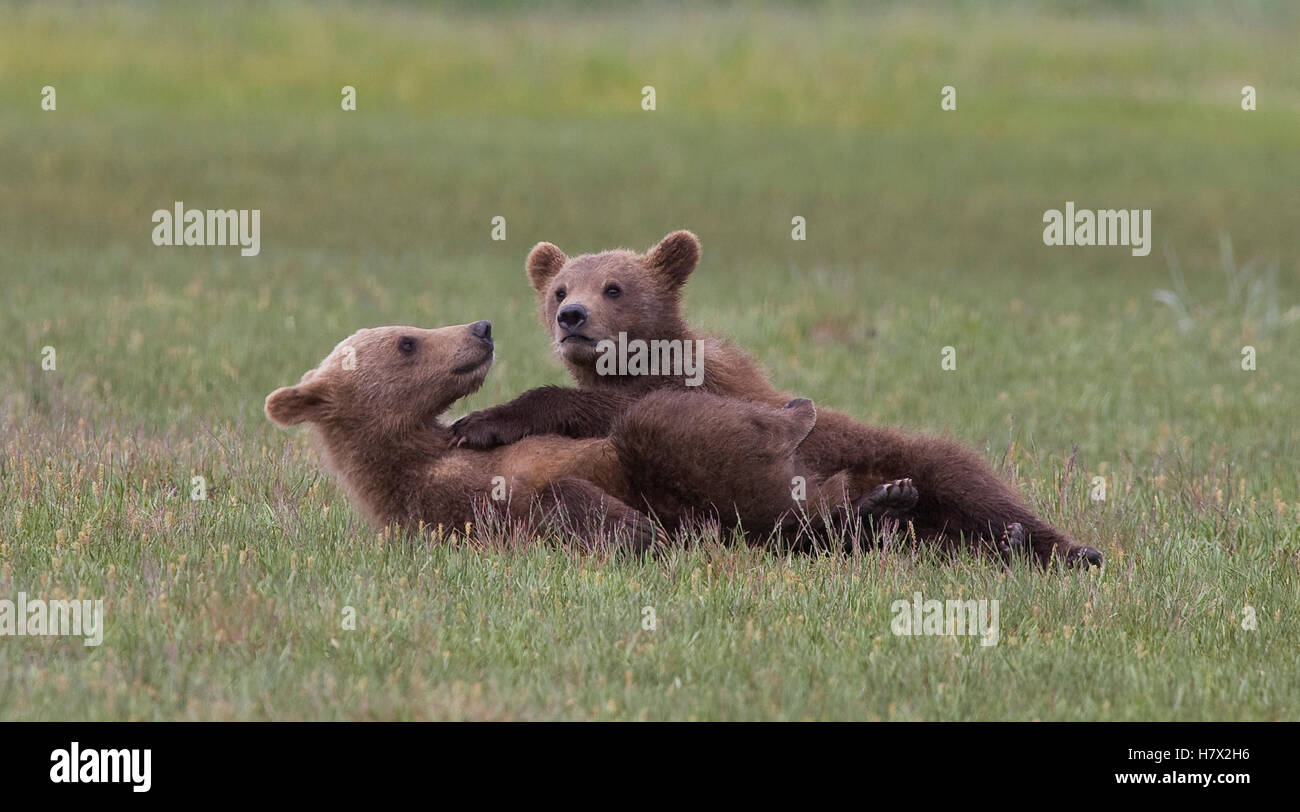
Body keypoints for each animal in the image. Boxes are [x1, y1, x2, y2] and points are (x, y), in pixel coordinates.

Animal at [450, 231, 1104, 568]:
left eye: (614, 286)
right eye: (560, 287)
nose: (572, 317)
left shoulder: (705, 384)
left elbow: (619, 409)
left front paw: (478, 421)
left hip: (907, 455)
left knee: (973, 484)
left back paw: (1063, 548)